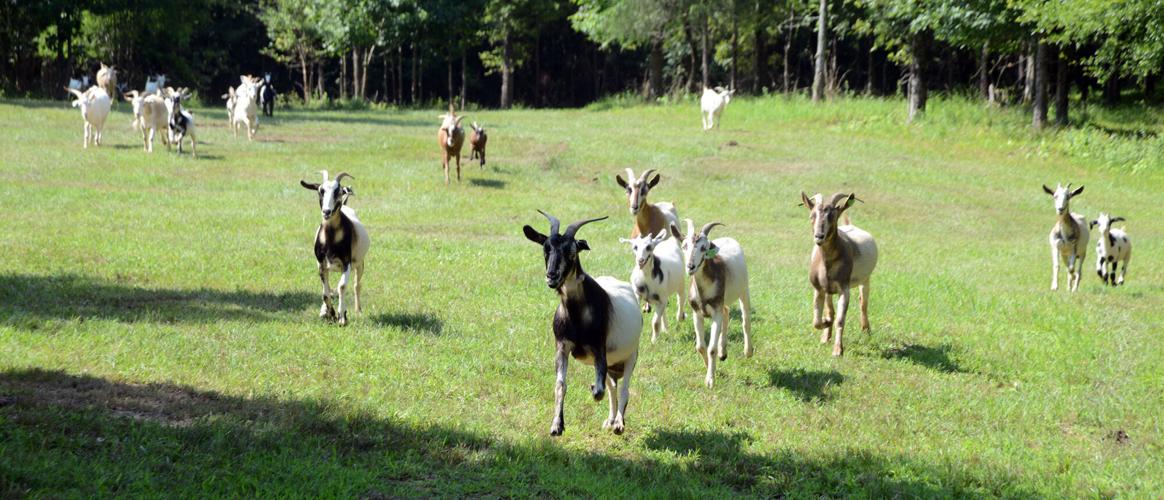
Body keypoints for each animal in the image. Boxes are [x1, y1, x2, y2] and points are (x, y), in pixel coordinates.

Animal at [300, 171, 369, 326]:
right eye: (320, 191)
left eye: (338, 191)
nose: (327, 211)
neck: (330, 238)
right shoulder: (321, 265)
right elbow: (325, 293)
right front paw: (329, 313)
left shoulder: (346, 263)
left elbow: (342, 286)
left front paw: (342, 317)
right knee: (329, 289)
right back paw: (323, 311)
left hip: (359, 264)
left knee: (356, 285)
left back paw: (358, 311)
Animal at [523, 211, 642, 435]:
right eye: (545, 249)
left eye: (571, 251)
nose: (551, 276)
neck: (577, 316)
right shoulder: (562, 345)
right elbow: (561, 384)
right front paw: (557, 425)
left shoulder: (598, 348)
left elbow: (599, 391)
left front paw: (593, 389)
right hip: (612, 362)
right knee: (613, 386)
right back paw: (610, 420)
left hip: (631, 355)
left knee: (623, 388)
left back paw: (619, 424)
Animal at [671, 219, 752, 388]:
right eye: (684, 246)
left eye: (704, 247)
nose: (690, 266)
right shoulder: (697, 314)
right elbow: (701, 346)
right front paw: (711, 369)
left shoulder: (715, 313)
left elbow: (711, 348)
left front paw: (710, 380)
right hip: (723, 302)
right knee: (727, 312)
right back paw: (723, 354)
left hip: (743, 291)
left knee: (746, 320)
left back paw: (748, 352)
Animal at [800, 192, 878, 357]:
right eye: (812, 215)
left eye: (833, 216)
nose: (819, 236)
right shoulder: (819, 289)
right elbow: (817, 320)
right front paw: (826, 325)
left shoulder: (844, 288)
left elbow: (840, 319)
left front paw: (837, 351)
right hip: (829, 290)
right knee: (831, 310)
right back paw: (826, 335)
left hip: (865, 280)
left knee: (863, 303)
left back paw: (866, 330)